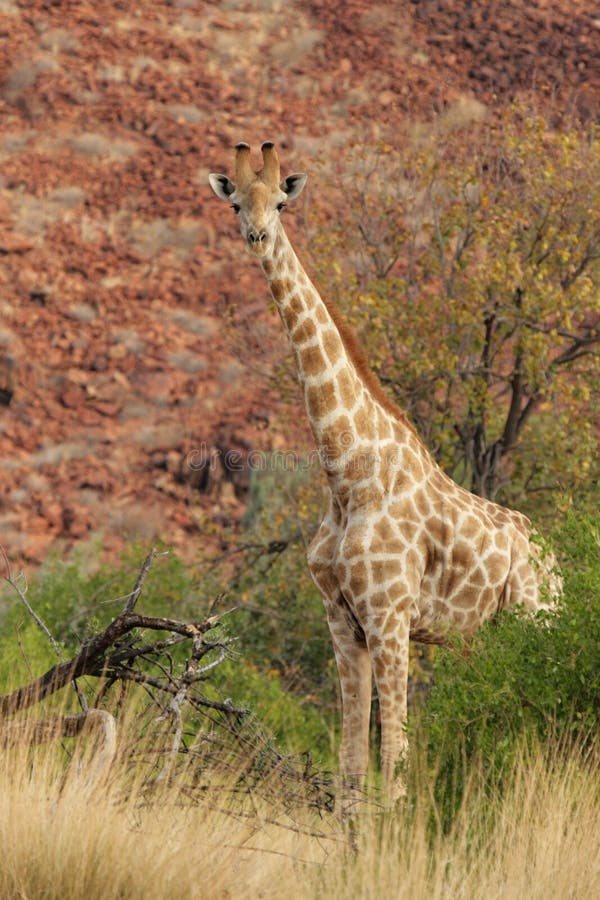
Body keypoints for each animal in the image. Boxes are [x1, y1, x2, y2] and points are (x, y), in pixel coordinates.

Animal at [209, 142, 559, 803]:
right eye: (235, 202)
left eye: (282, 202)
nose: (257, 237)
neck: (349, 478)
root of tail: (559, 564)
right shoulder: (343, 621)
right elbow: (351, 764)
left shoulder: (391, 618)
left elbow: (394, 762)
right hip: (486, 638)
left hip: (535, 621)